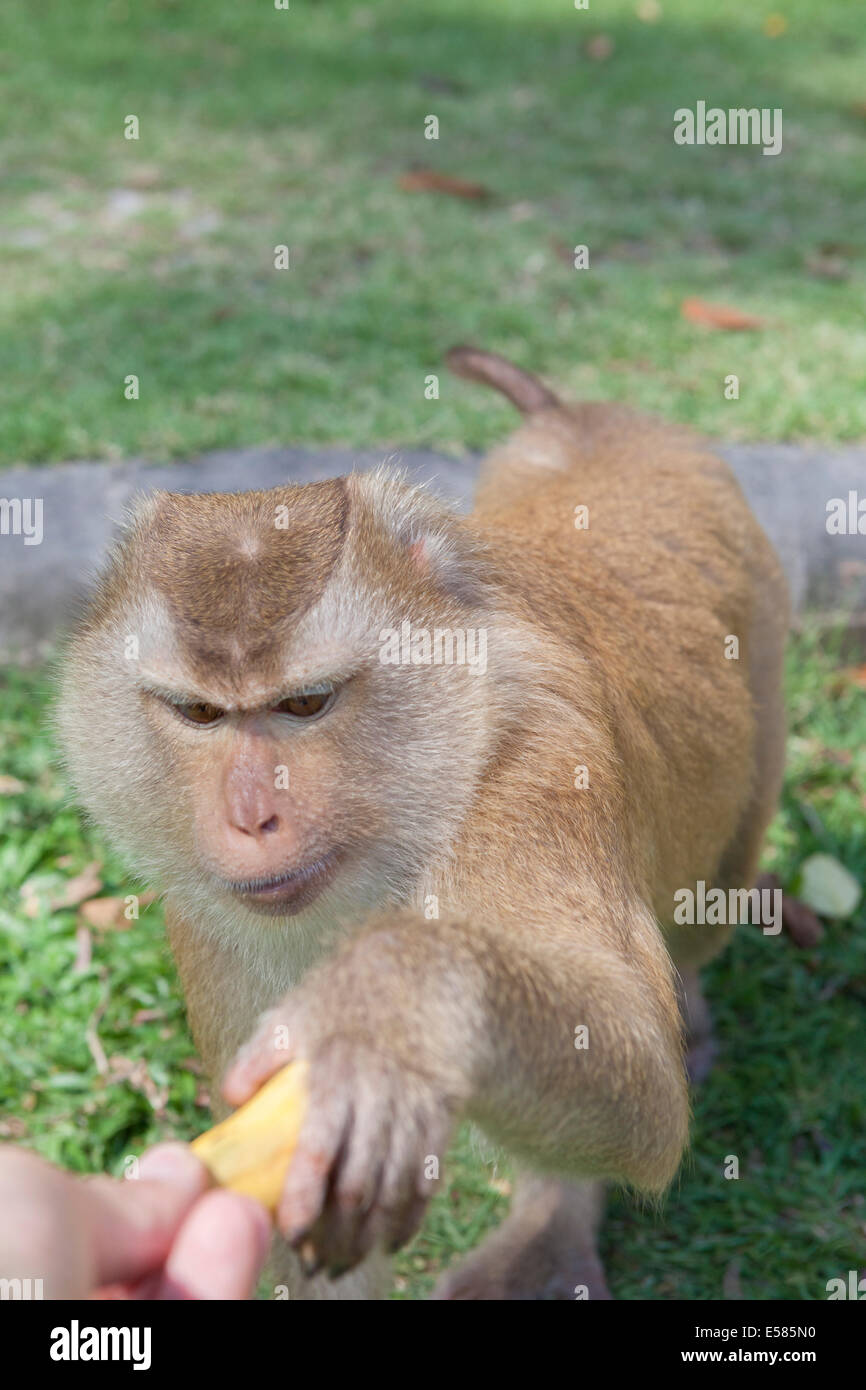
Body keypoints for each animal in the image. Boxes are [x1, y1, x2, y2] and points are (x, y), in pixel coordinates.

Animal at [57, 346, 789, 1300]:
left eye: (305, 703)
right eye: (199, 714)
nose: (252, 816)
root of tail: (585, 420)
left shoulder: (538, 770)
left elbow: (639, 1082)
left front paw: (387, 1010)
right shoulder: (208, 909)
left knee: (711, 899)